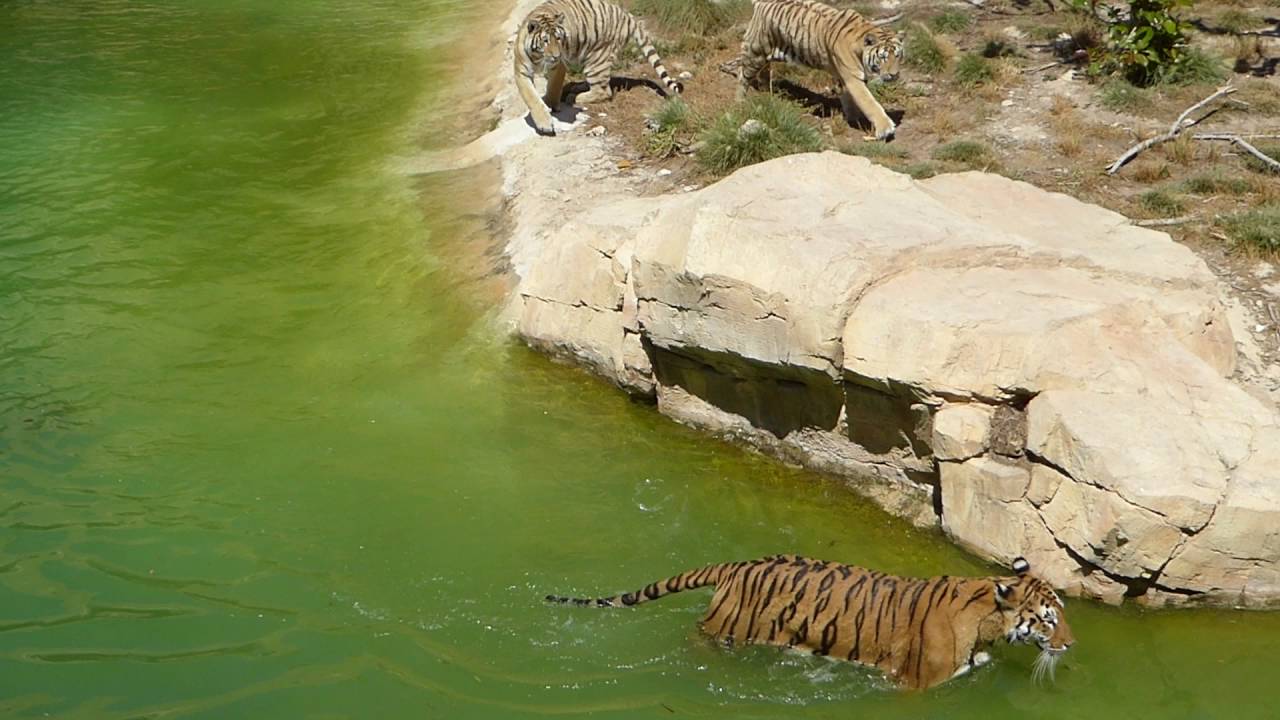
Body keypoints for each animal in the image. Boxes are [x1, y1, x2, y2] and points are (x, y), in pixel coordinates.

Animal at [514, 0, 683, 137]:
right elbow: (531, 97)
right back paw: (575, 88)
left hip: (595, 61)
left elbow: (553, 88)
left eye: (559, 38)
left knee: (604, 91)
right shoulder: (521, 71)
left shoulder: (558, 66)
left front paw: (549, 107)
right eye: (545, 41)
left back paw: (574, 97)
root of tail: (625, 15)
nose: (556, 55)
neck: (538, 57)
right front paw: (544, 121)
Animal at [724, 0, 904, 141]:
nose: (895, 75)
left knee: (763, 70)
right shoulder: (853, 78)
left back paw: (766, 90)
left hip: (773, 53)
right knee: (743, 75)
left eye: (898, 56)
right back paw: (740, 102)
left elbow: (848, 98)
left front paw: (853, 118)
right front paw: (885, 128)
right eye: (883, 57)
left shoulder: (844, 76)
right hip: (756, 51)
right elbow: (869, 103)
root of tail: (761, 3)